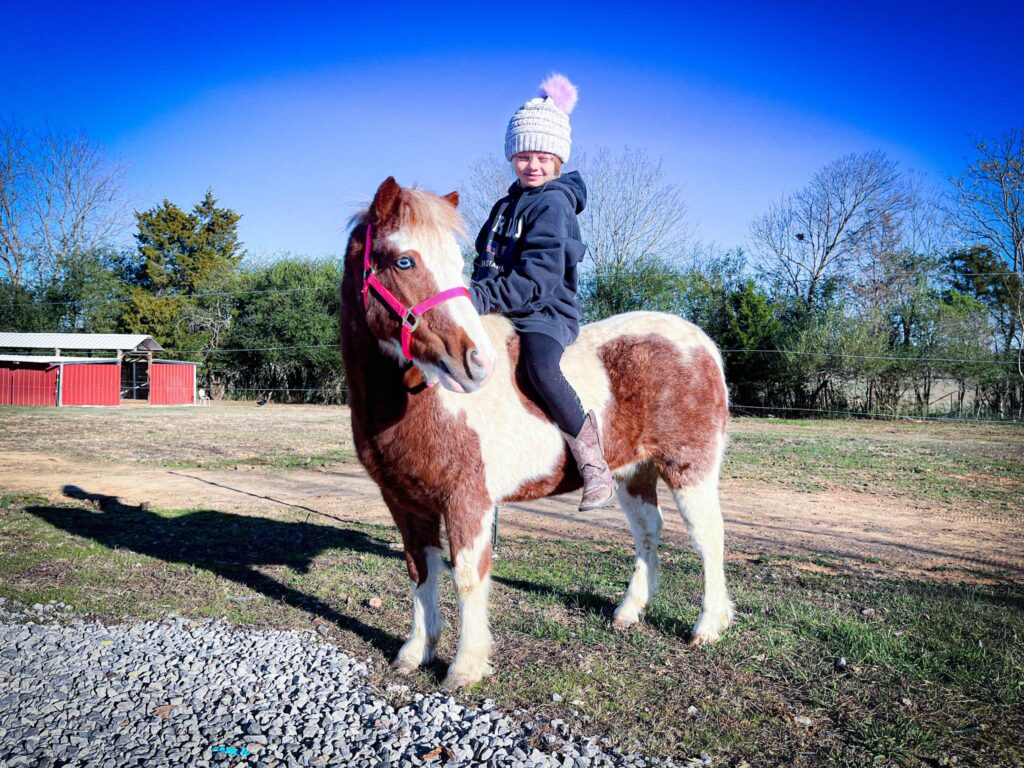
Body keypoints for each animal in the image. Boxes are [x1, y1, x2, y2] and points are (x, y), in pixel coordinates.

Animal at [340, 177, 733, 689]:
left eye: (455, 263)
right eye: (404, 261)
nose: (476, 362)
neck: (426, 400)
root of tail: (700, 343)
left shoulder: (467, 500)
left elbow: (467, 575)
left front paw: (465, 667)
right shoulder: (404, 502)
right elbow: (420, 571)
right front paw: (415, 652)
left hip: (690, 470)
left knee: (708, 538)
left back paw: (708, 626)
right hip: (634, 472)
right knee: (649, 530)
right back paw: (629, 612)